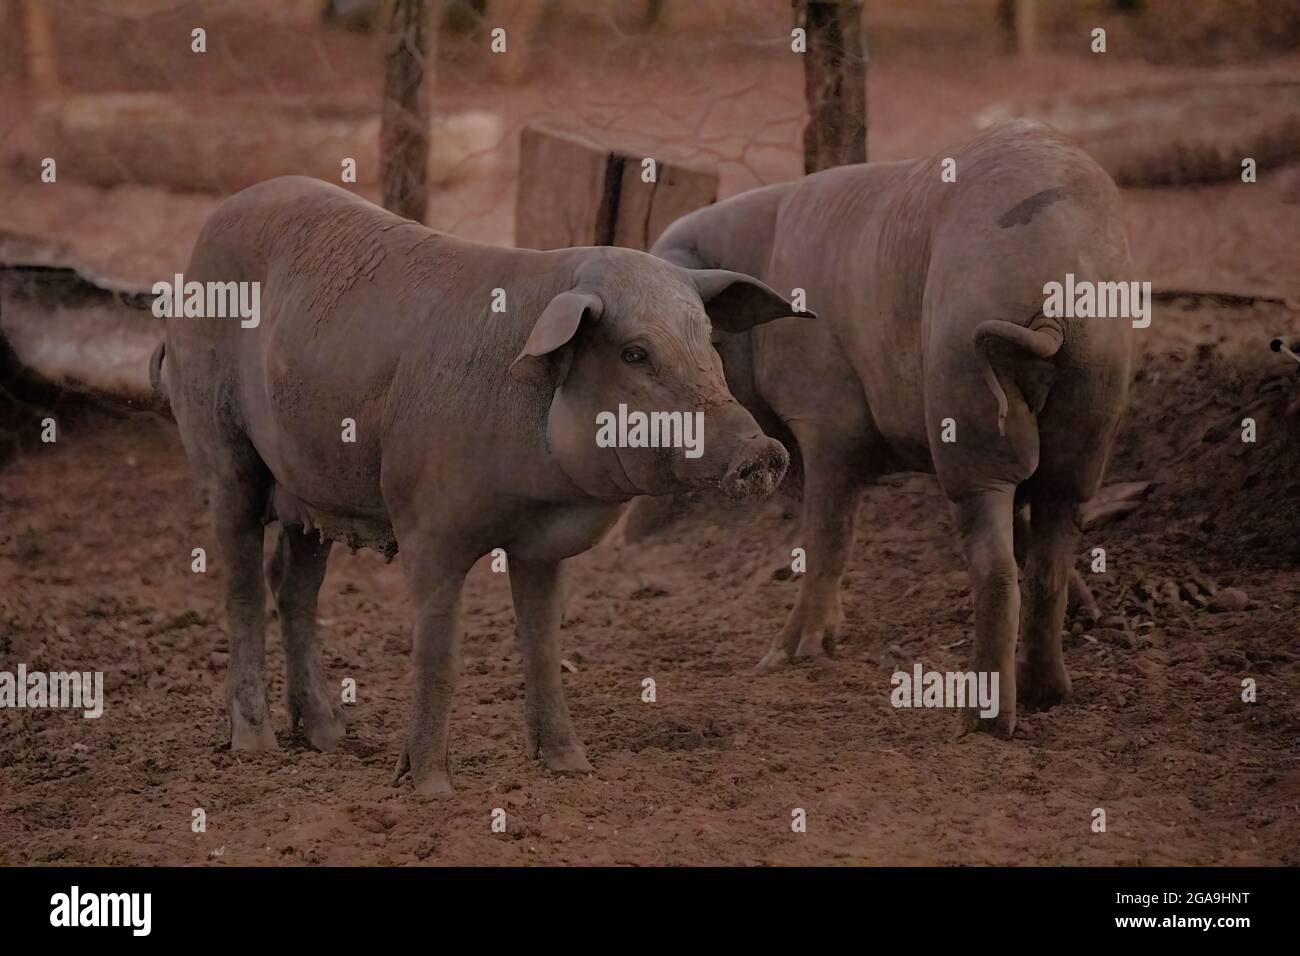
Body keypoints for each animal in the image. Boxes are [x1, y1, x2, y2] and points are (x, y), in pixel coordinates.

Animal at [155, 176, 803, 794]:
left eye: (708, 342)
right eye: (635, 353)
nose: (763, 451)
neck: (543, 490)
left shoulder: (543, 545)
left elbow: (542, 645)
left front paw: (572, 766)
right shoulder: (428, 524)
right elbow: (440, 653)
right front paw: (430, 787)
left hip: (311, 485)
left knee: (292, 586)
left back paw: (330, 737)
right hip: (222, 452)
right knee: (243, 587)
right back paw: (255, 745)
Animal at [650, 121, 1135, 735]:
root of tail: (1050, 285)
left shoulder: (824, 417)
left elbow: (828, 534)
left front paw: (786, 657)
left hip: (962, 385)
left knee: (996, 566)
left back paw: (982, 722)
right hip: (1095, 393)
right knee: (1050, 547)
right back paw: (1049, 695)